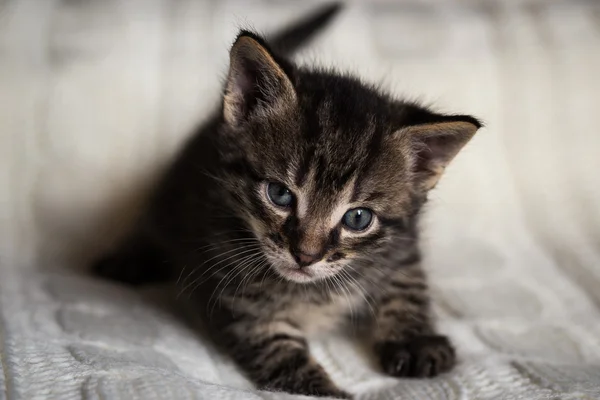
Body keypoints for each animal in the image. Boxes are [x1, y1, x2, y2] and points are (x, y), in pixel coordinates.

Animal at [94, 3, 480, 400]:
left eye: (358, 218)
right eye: (280, 194)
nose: (305, 256)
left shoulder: (403, 246)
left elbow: (407, 285)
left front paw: (416, 341)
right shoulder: (241, 303)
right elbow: (281, 356)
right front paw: (329, 392)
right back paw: (130, 259)